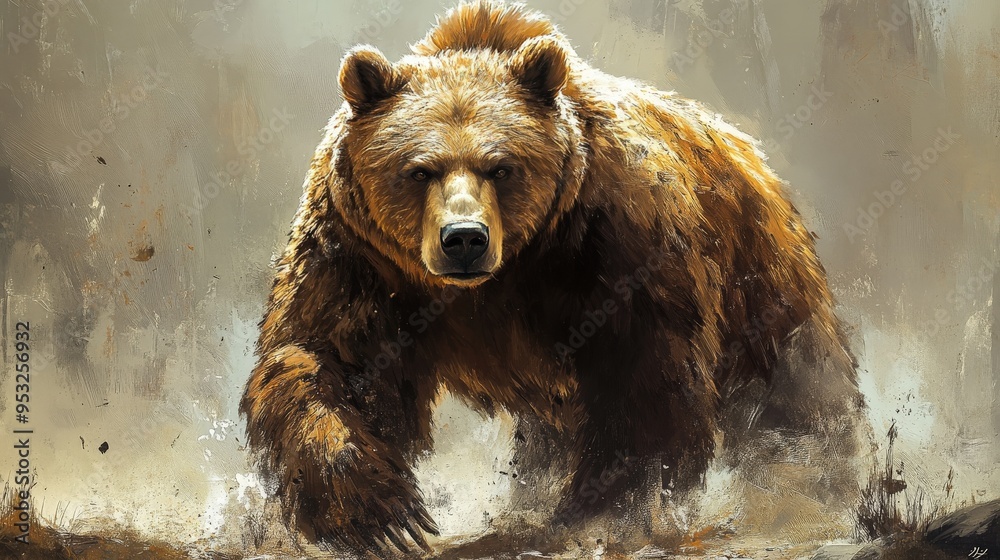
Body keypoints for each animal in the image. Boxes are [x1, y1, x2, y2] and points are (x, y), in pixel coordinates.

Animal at [240, 0, 865, 554]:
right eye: (418, 170)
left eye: (502, 166)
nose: (464, 239)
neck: (506, 272)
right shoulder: (358, 250)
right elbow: (323, 354)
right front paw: (378, 511)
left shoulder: (615, 235)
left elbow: (644, 371)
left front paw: (607, 508)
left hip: (763, 283)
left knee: (793, 391)